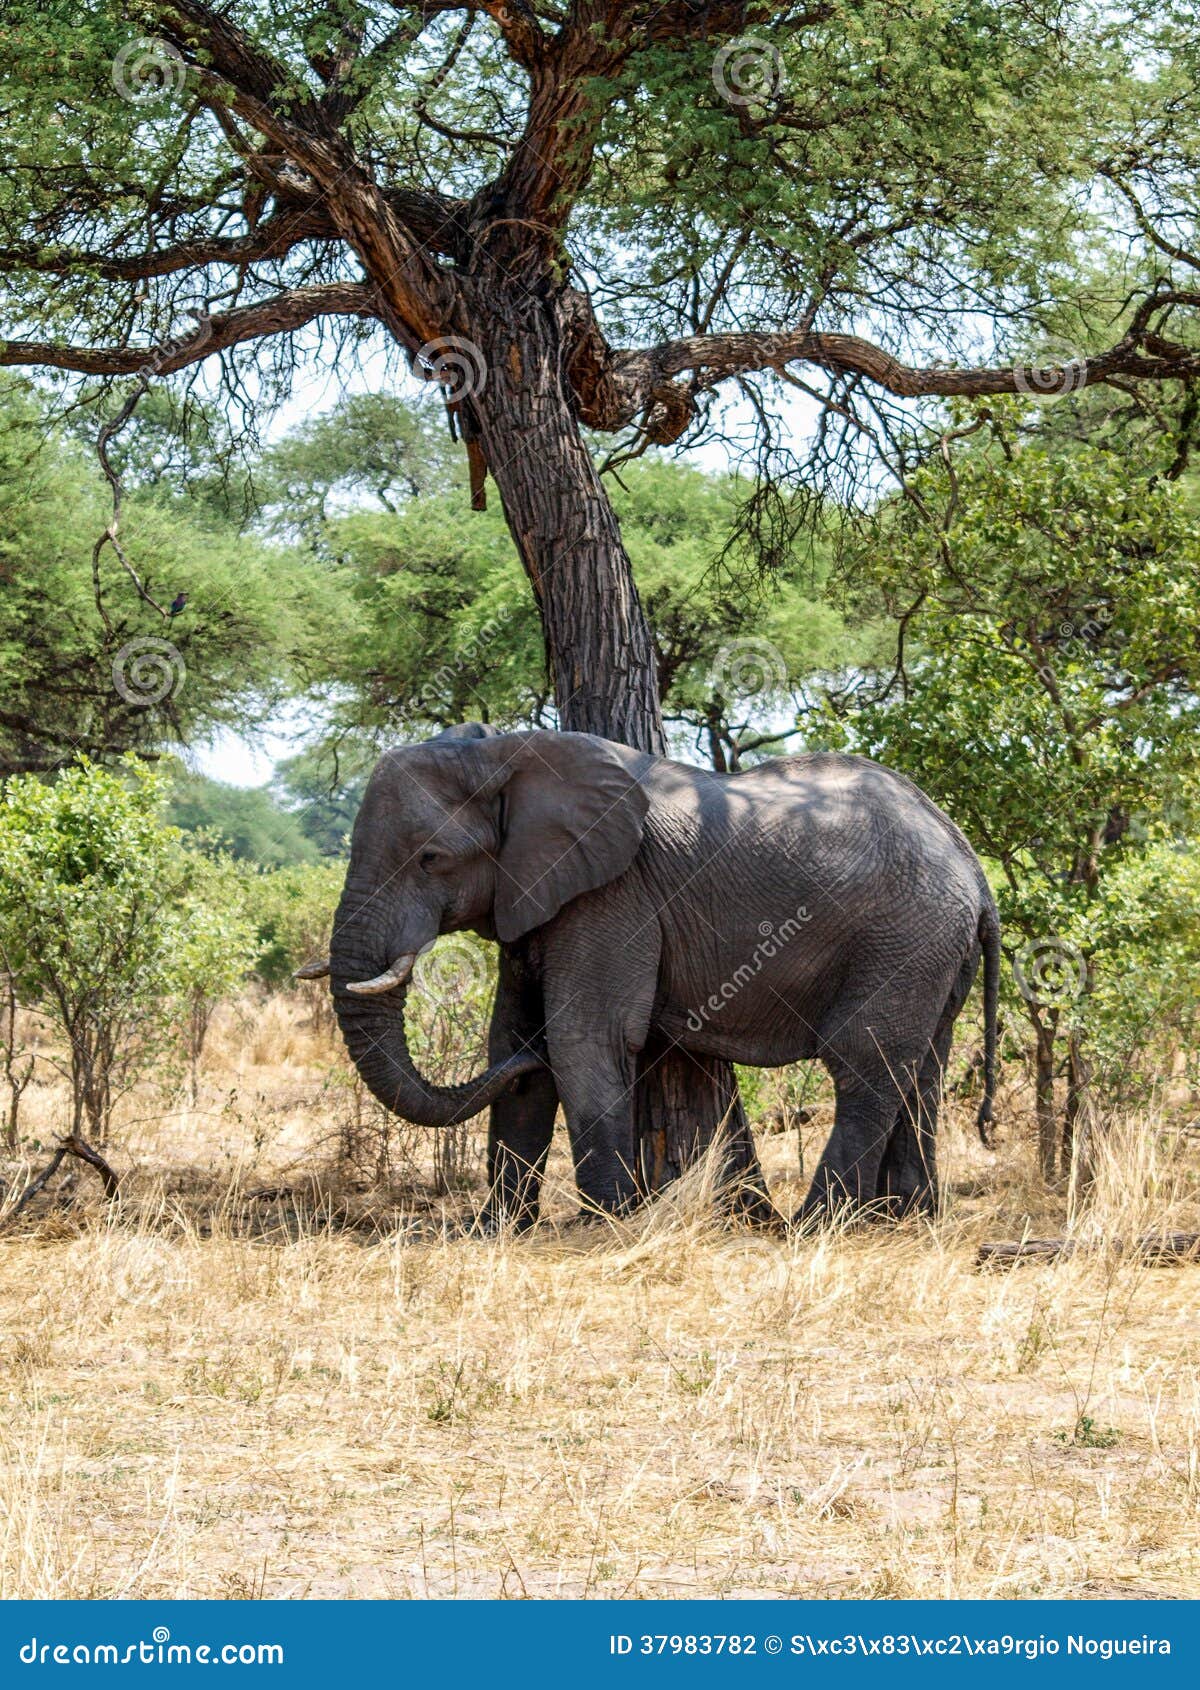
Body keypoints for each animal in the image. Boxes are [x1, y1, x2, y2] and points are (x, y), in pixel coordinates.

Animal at [307, 724, 999, 1231]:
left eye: (431, 859)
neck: (503, 752)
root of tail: (970, 863)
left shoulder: (613, 893)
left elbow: (585, 1038)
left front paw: (607, 1223)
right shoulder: (537, 893)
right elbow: (514, 1038)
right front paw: (497, 1230)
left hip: (904, 935)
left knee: (866, 1064)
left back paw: (816, 1226)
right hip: (929, 948)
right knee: (922, 1068)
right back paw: (907, 1218)